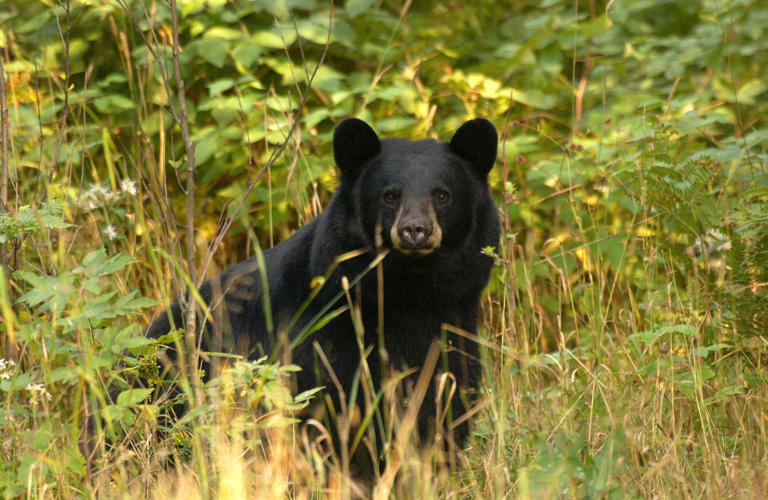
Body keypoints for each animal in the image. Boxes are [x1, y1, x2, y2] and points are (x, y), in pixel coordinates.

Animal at [146, 117, 499, 460]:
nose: (415, 230)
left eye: (442, 194)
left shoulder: (453, 324)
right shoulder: (324, 336)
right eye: (390, 195)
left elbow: (447, 399)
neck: (410, 290)